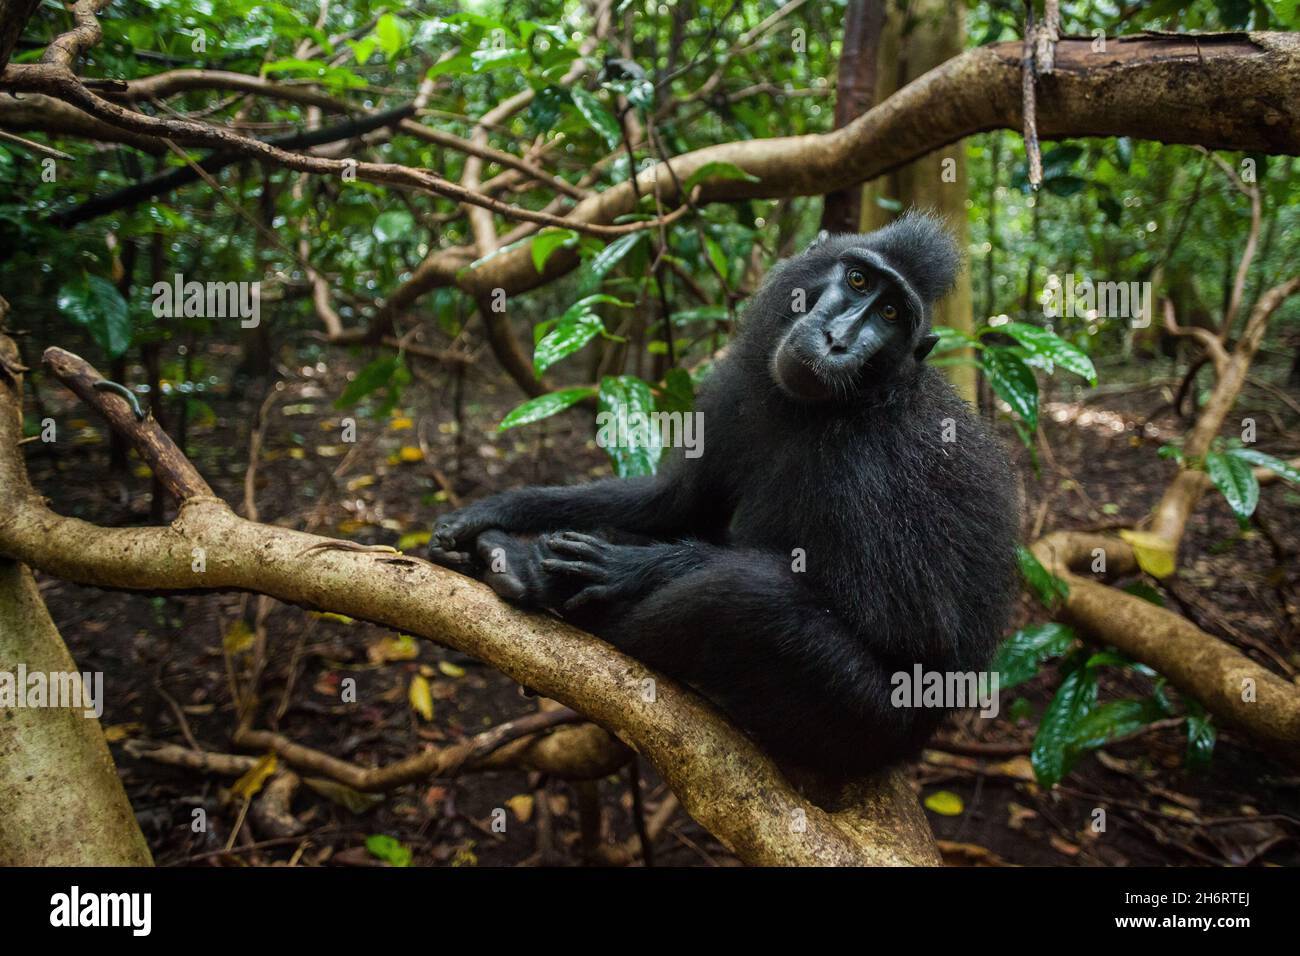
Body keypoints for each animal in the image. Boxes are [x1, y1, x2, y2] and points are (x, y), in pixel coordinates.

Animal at [428, 212, 1019, 778]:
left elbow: (909, 630)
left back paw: (535, 577)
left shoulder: (879, 463)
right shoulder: (739, 384)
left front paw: (634, 567)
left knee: (749, 596)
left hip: (860, 729)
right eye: (858, 280)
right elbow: (679, 501)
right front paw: (497, 510)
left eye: (893, 313)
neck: (831, 407)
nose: (838, 339)